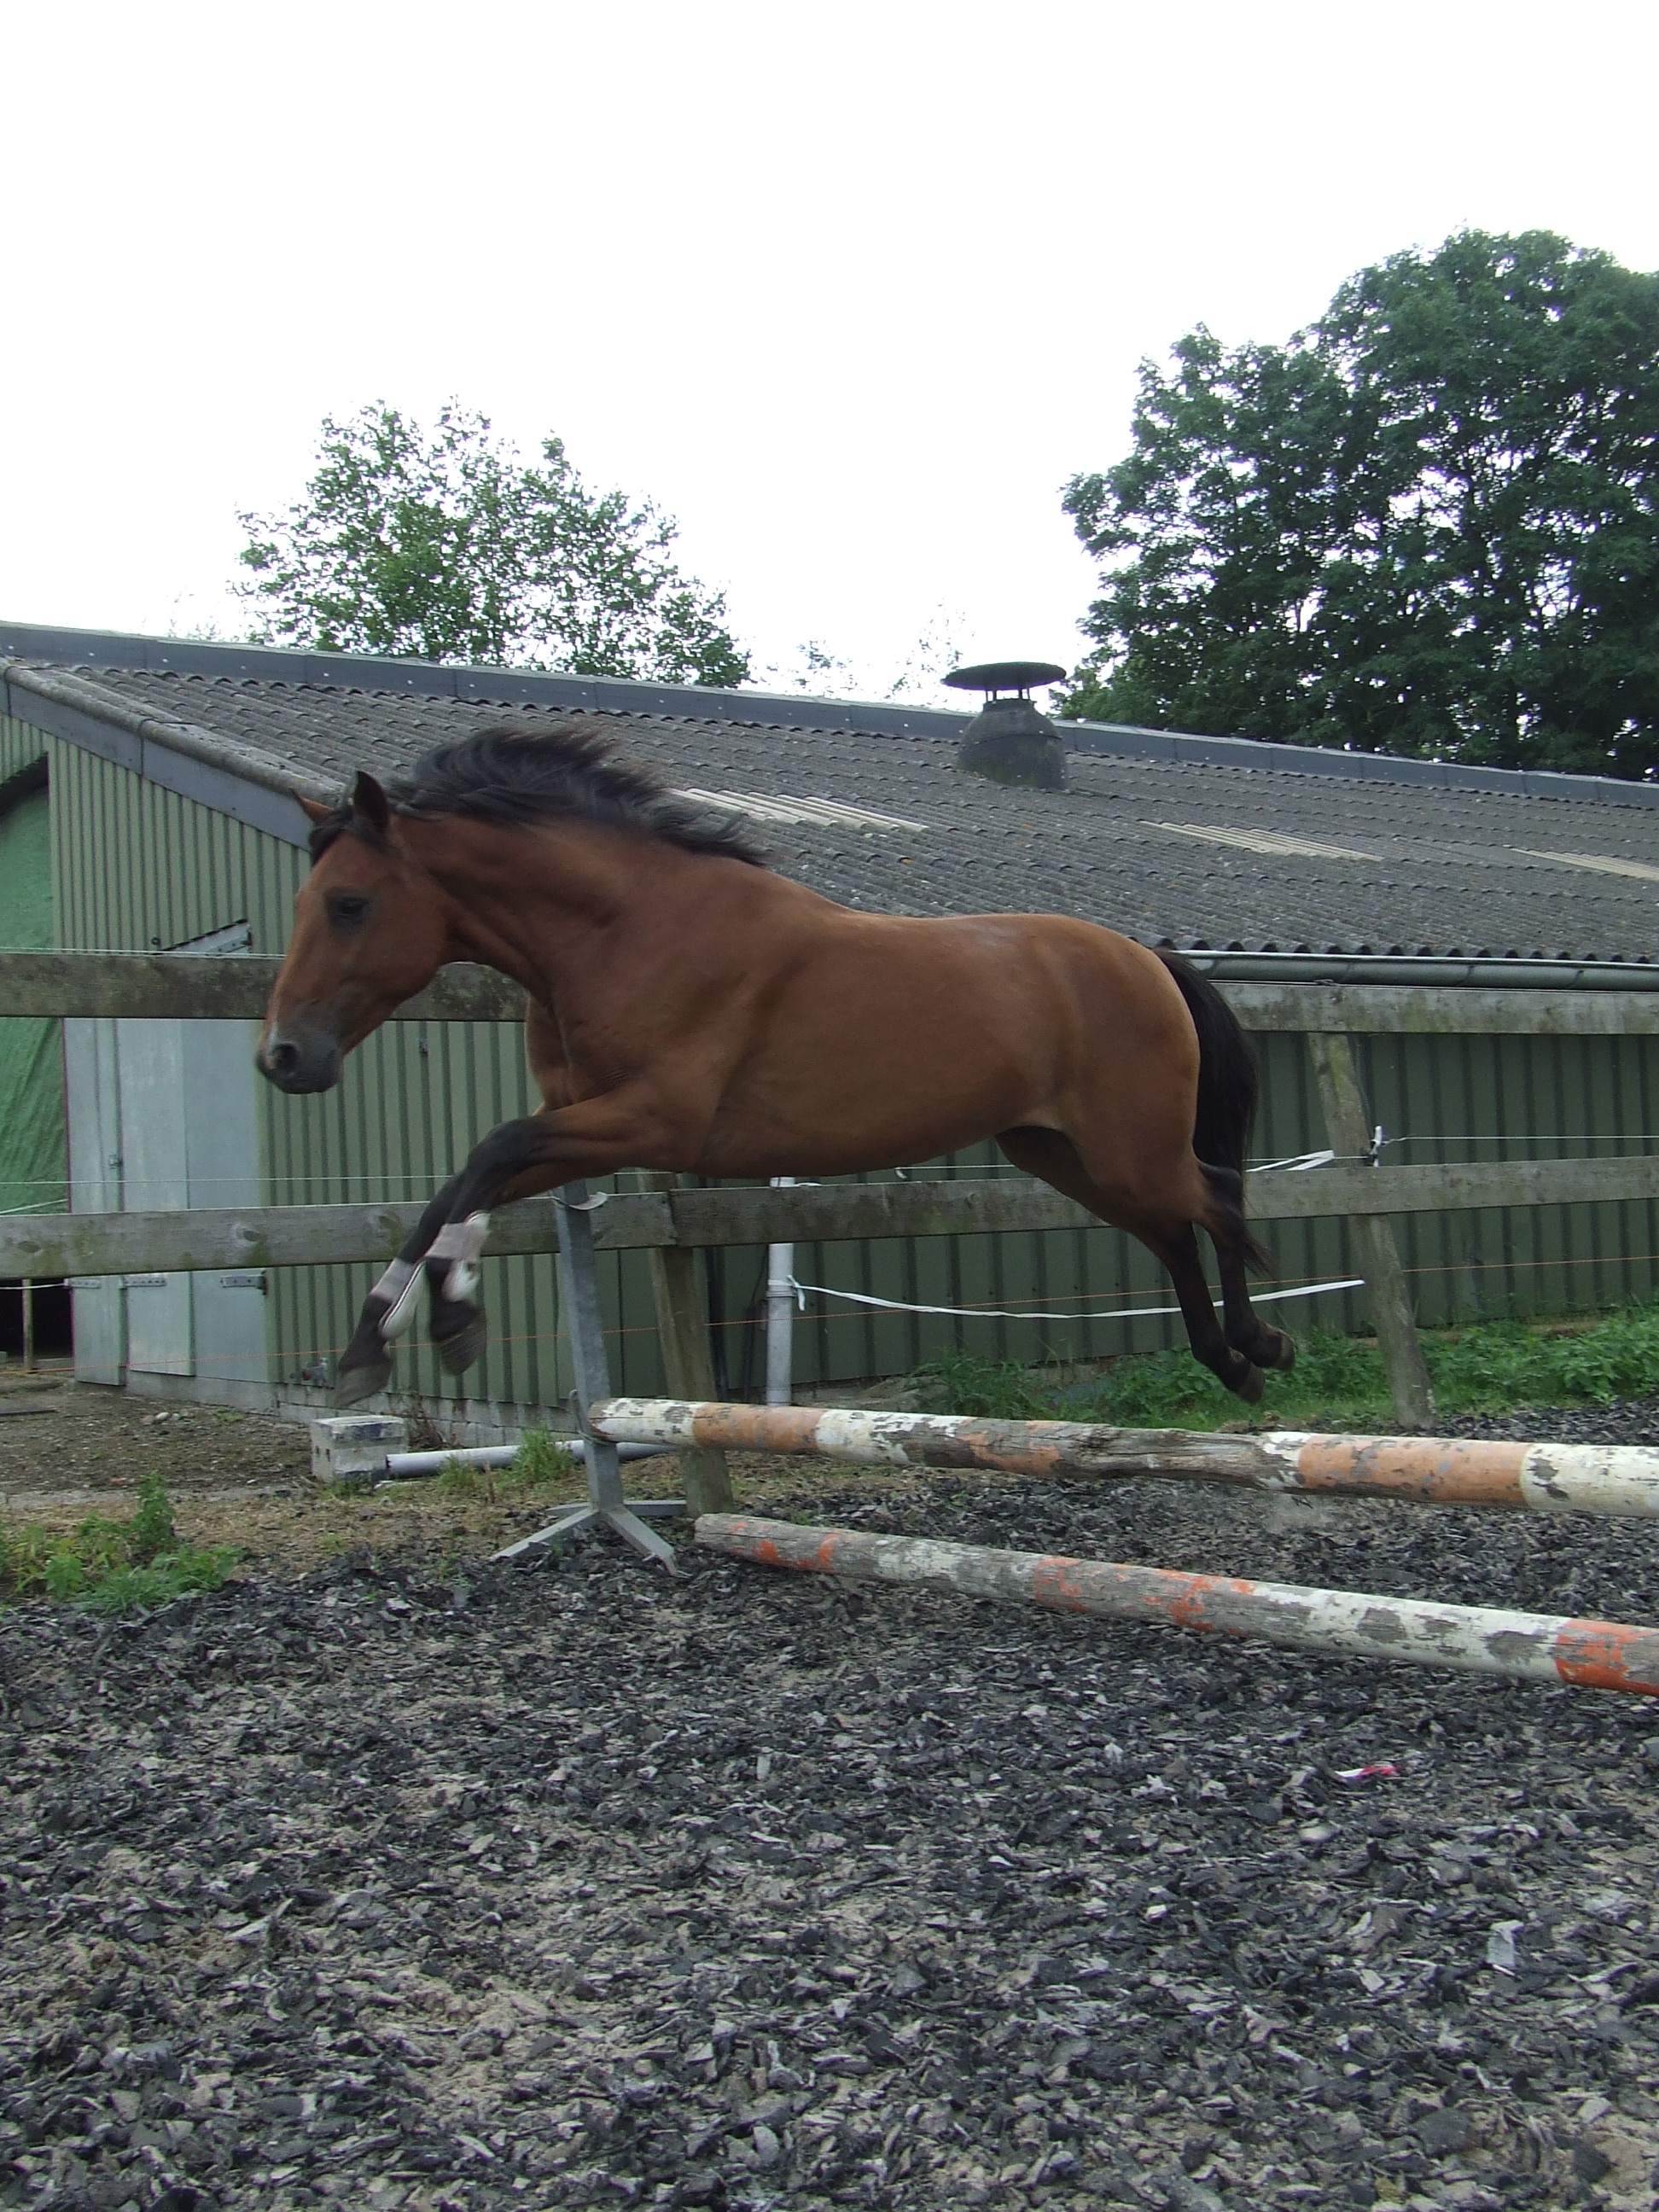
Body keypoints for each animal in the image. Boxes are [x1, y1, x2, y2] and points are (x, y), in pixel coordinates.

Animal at [257, 722, 1294, 1407]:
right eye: (305, 901)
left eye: (348, 904)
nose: (283, 1057)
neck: (626, 931)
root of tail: (1146, 958)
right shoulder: (586, 1133)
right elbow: (456, 1188)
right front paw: (377, 1341)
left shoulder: (649, 1121)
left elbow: (488, 1152)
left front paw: (450, 1319)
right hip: (1061, 1154)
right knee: (1175, 1231)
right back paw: (1232, 1362)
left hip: (1127, 1150)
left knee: (1217, 1203)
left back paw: (1259, 1344)